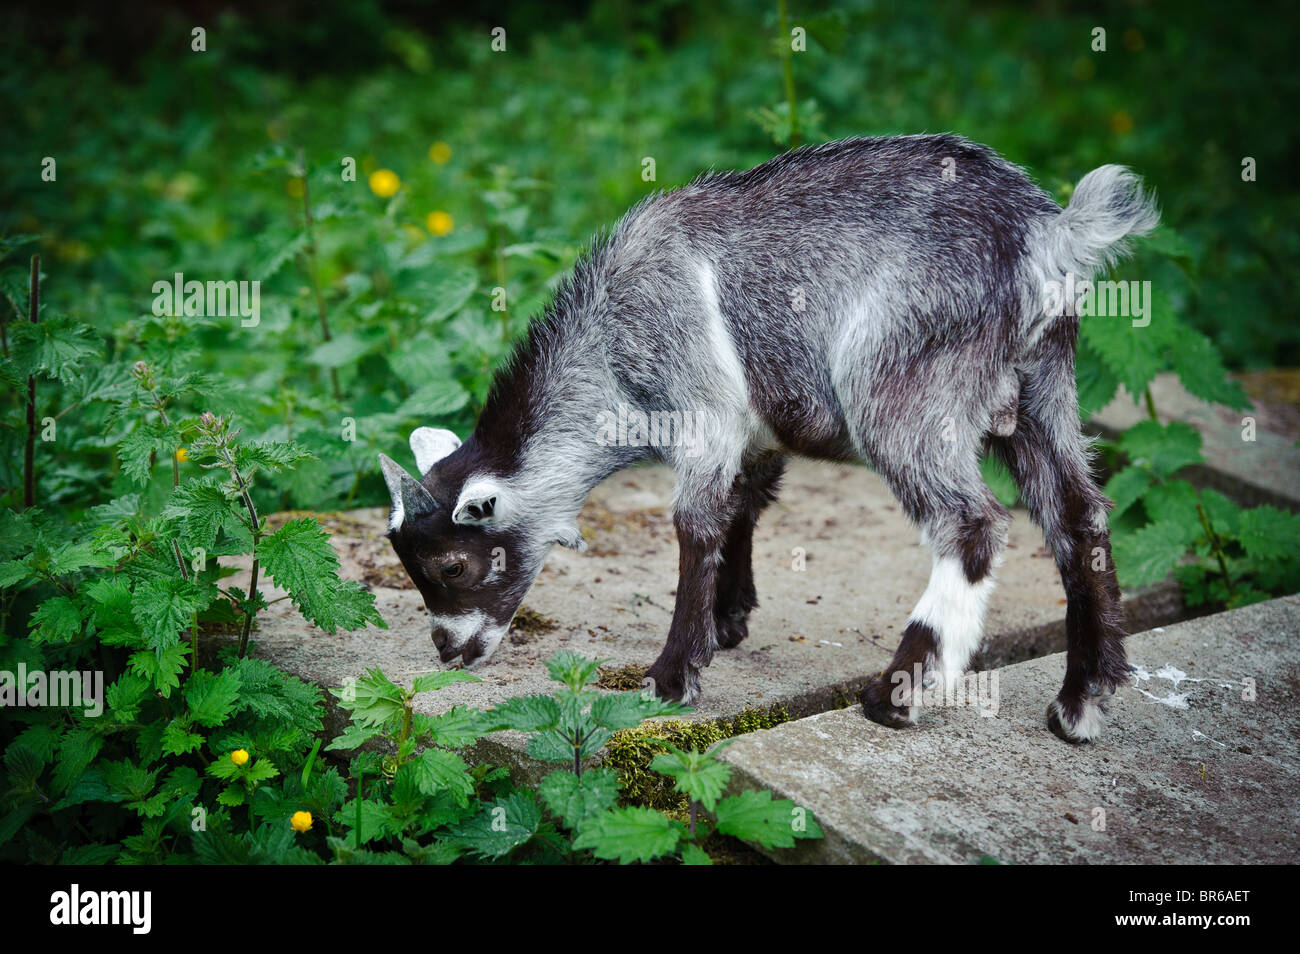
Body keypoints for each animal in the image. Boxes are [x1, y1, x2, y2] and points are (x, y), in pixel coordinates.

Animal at [378, 134, 1158, 743]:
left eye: (453, 565)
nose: (446, 649)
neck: (609, 341)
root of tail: (1049, 233)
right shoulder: (754, 427)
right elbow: (744, 504)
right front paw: (729, 621)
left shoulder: (703, 410)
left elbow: (696, 523)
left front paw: (672, 677)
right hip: (1042, 388)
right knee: (1079, 515)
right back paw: (1079, 705)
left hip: (903, 388)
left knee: (971, 523)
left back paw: (896, 696)